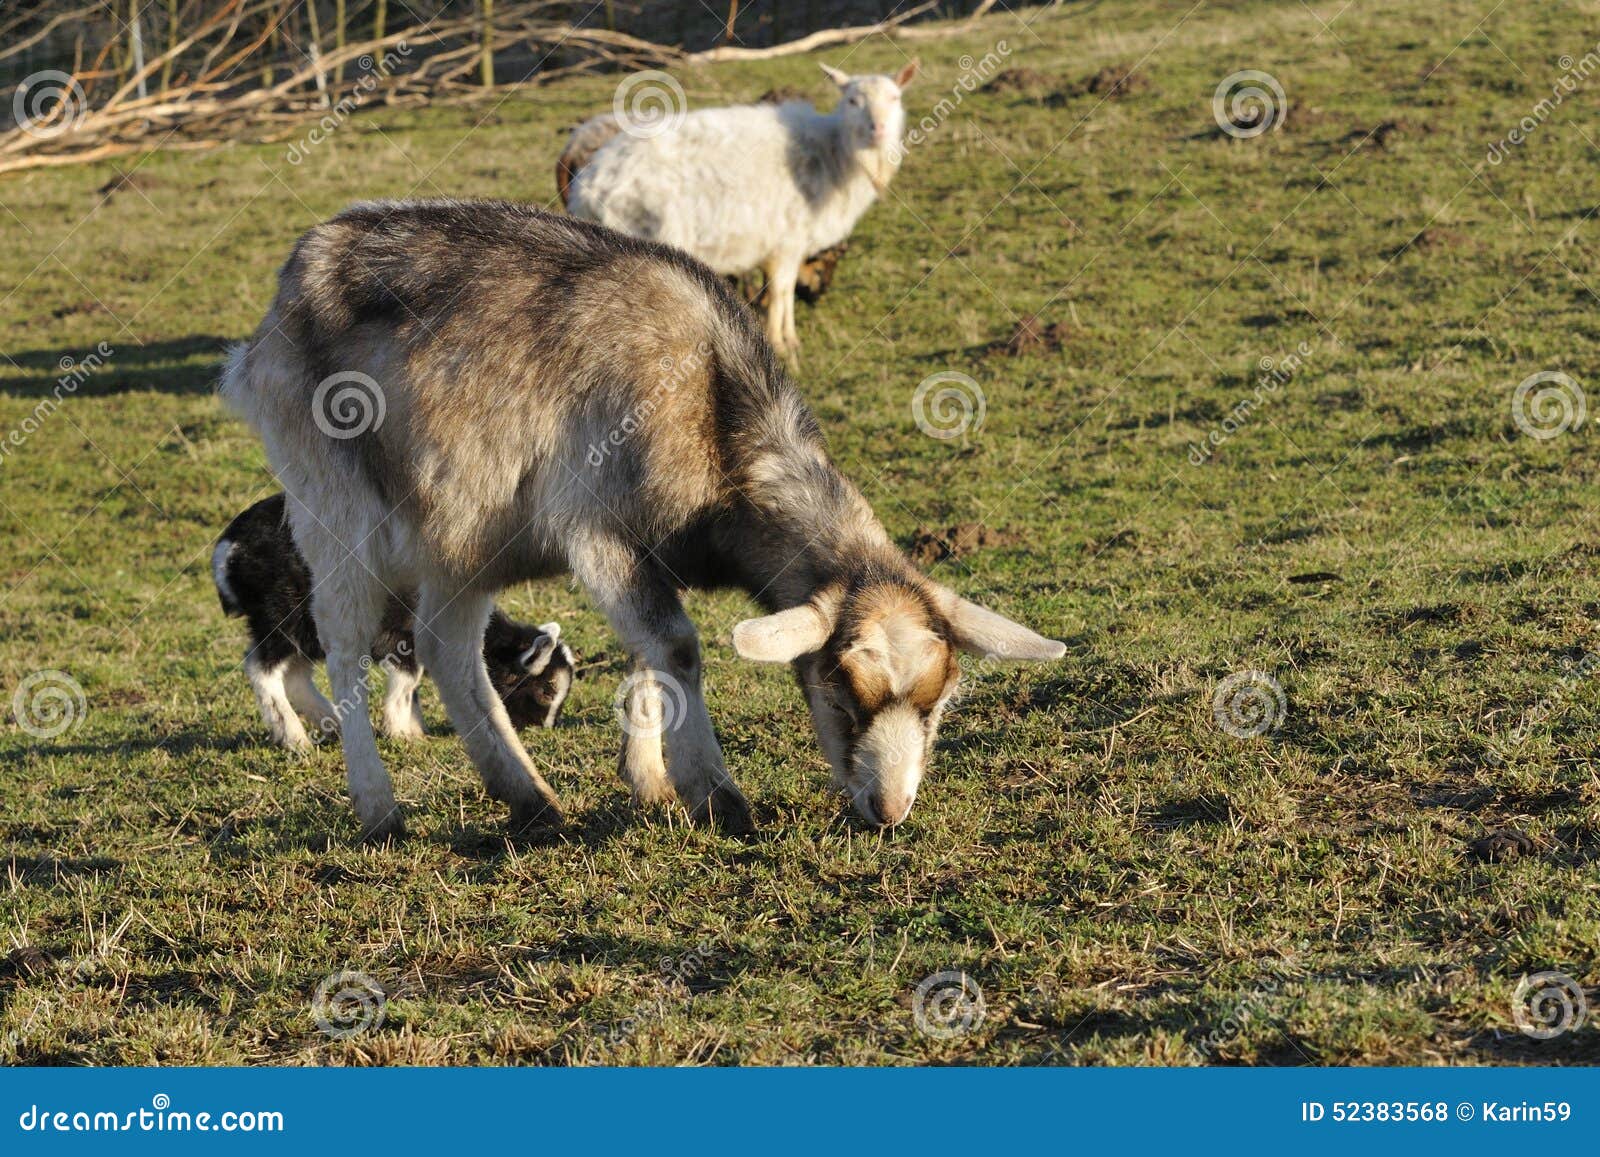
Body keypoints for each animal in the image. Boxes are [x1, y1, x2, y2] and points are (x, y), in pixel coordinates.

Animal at [213, 492, 575, 751]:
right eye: (545, 690)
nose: (543, 731)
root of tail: (229, 547)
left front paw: (414, 729)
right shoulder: (401, 638)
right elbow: (408, 681)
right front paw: (402, 732)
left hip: (305, 629)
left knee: (295, 675)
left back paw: (332, 723)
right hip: (281, 616)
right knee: (261, 669)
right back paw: (294, 738)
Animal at [565, 61, 917, 356]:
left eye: (895, 97)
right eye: (852, 101)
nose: (878, 130)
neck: (835, 156)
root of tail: (589, 187)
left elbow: (781, 289)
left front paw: (784, 335)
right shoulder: (788, 240)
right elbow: (782, 290)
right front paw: (784, 341)